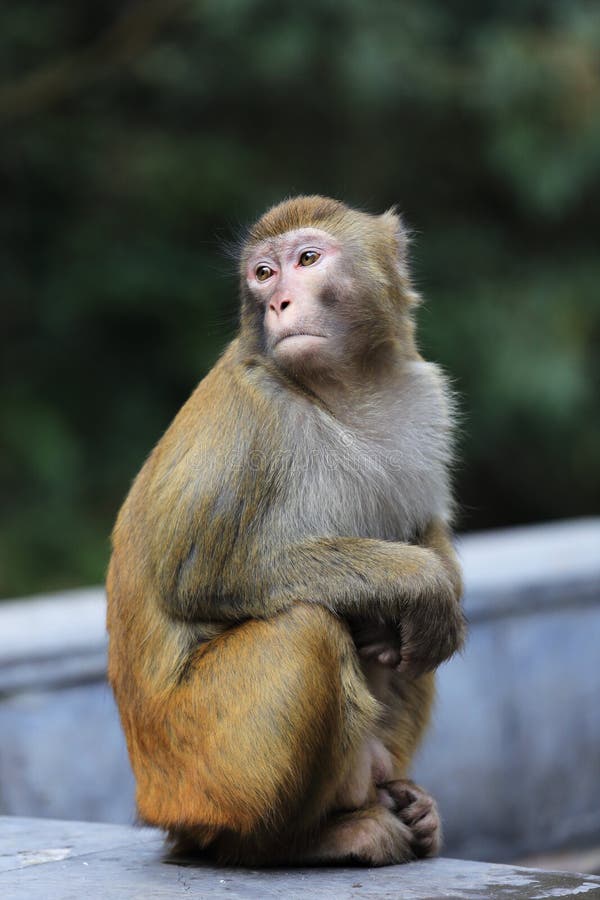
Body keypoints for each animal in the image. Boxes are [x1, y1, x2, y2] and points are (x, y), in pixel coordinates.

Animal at [106, 195, 465, 867]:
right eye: (263, 274)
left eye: (308, 259)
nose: (278, 303)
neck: (343, 391)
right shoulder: (252, 420)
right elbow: (199, 577)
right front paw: (421, 581)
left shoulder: (423, 397)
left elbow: (425, 528)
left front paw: (430, 590)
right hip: (204, 769)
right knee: (305, 629)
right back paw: (301, 840)